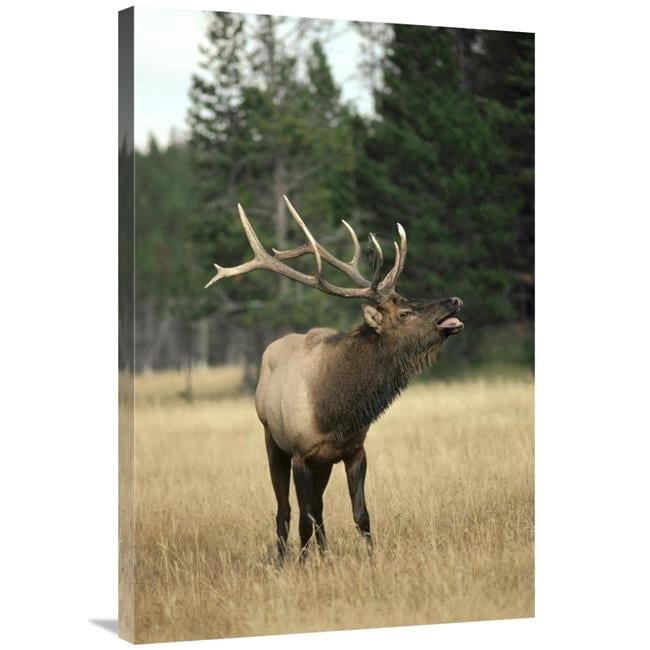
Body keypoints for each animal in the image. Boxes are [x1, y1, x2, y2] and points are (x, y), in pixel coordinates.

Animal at [205, 196, 463, 561]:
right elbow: (304, 517)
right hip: (272, 440)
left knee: (319, 508)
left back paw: (323, 554)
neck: (336, 410)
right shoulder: (301, 454)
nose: (454, 299)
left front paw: (369, 558)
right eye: (404, 313)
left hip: (323, 462)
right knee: (286, 510)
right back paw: (284, 557)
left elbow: (360, 514)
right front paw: (302, 564)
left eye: (409, 299)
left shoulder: (353, 450)